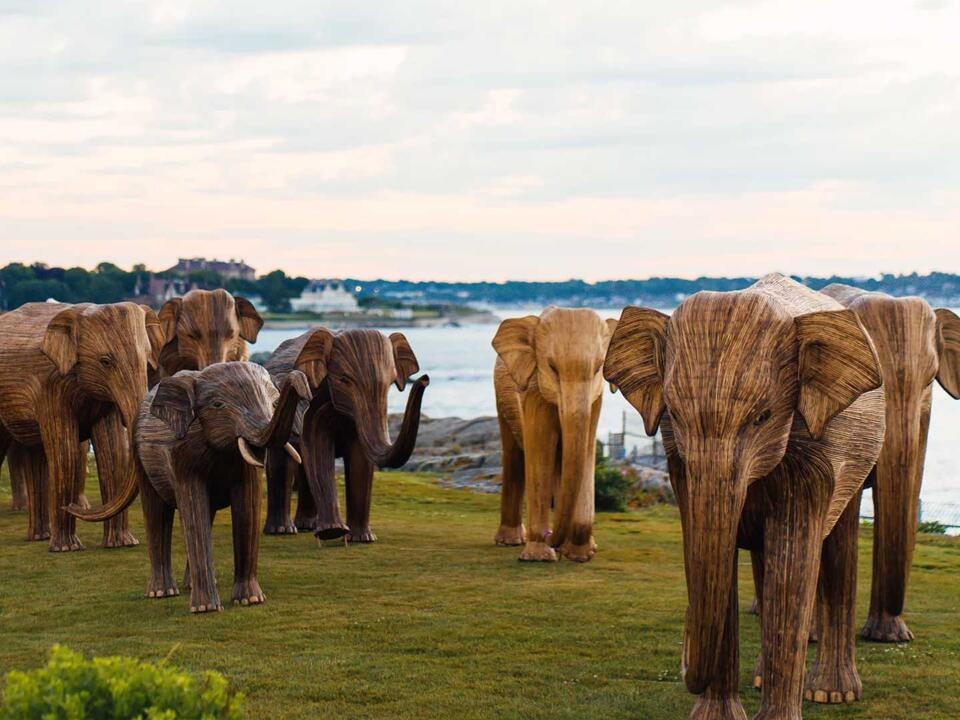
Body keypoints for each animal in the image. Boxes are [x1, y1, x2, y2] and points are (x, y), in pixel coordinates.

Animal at [0, 302, 162, 552]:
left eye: (146, 359)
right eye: (105, 361)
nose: (70, 507)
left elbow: (114, 452)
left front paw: (122, 544)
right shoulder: (51, 386)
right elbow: (65, 451)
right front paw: (67, 548)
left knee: (35, 454)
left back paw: (40, 536)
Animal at [70, 363, 309, 613]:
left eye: (273, 402)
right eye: (217, 405)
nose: (299, 379)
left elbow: (247, 508)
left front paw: (250, 600)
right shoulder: (180, 452)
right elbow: (193, 506)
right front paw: (206, 609)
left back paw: (189, 585)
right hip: (141, 460)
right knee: (157, 513)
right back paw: (161, 593)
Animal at [262, 328, 428, 542]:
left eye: (391, 383)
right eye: (344, 380)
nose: (424, 379)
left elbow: (360, 458)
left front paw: (362, 539)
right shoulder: (314, 399)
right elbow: (317, 445)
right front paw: (334, 532)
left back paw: (307, 526)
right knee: (282, 461)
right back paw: (283, 530)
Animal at [491, 308, 616, 563]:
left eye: (598, 368)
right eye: (552, 367)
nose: (551, 537)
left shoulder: (596, 399)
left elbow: (585, 451)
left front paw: (580, 555)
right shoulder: (533, 390)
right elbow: (540, 452)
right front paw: (539, 556)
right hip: (501, 397)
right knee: (515, 456)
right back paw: (510, 542)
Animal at [604, 274, 886, 720]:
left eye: (762, 417)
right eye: (674, 414)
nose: (684, 655)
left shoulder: (813, 452)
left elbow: (792, 556)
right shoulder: (678, 460)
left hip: (859, 452)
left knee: (836, 546)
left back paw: (831, 694)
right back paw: (760, 680)